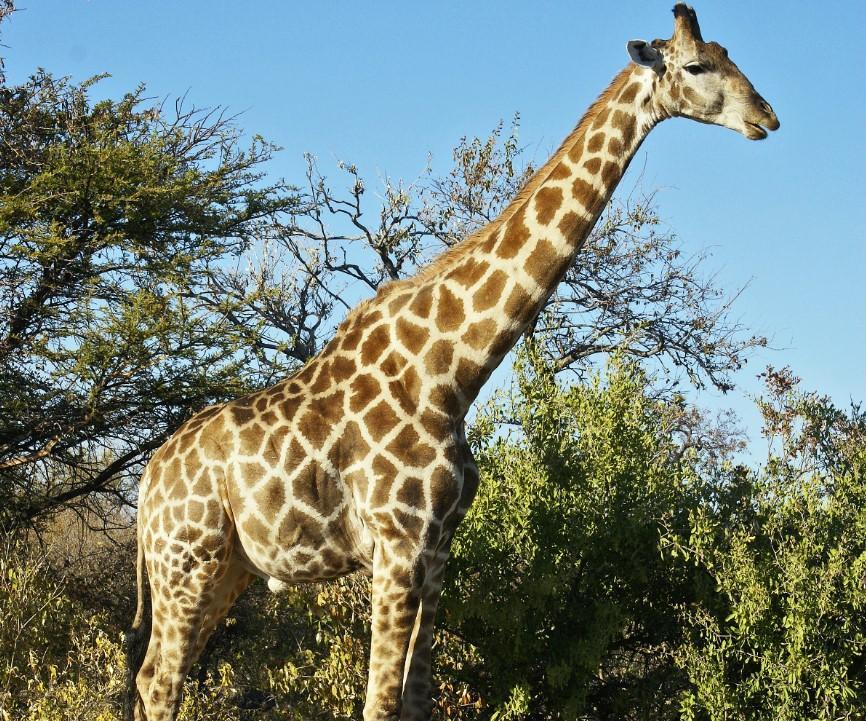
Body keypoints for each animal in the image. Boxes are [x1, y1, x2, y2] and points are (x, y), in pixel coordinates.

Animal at [125, 5, 778, 720]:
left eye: (729, 54)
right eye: (697, 65)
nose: (767, 117)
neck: (450, 373)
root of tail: (148, 484)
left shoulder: (438, 551)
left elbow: (417, 700)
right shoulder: (398, 545)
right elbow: (379, 703)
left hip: (227, 569)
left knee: (153, 676)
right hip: (187, 562)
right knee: (162, 679)